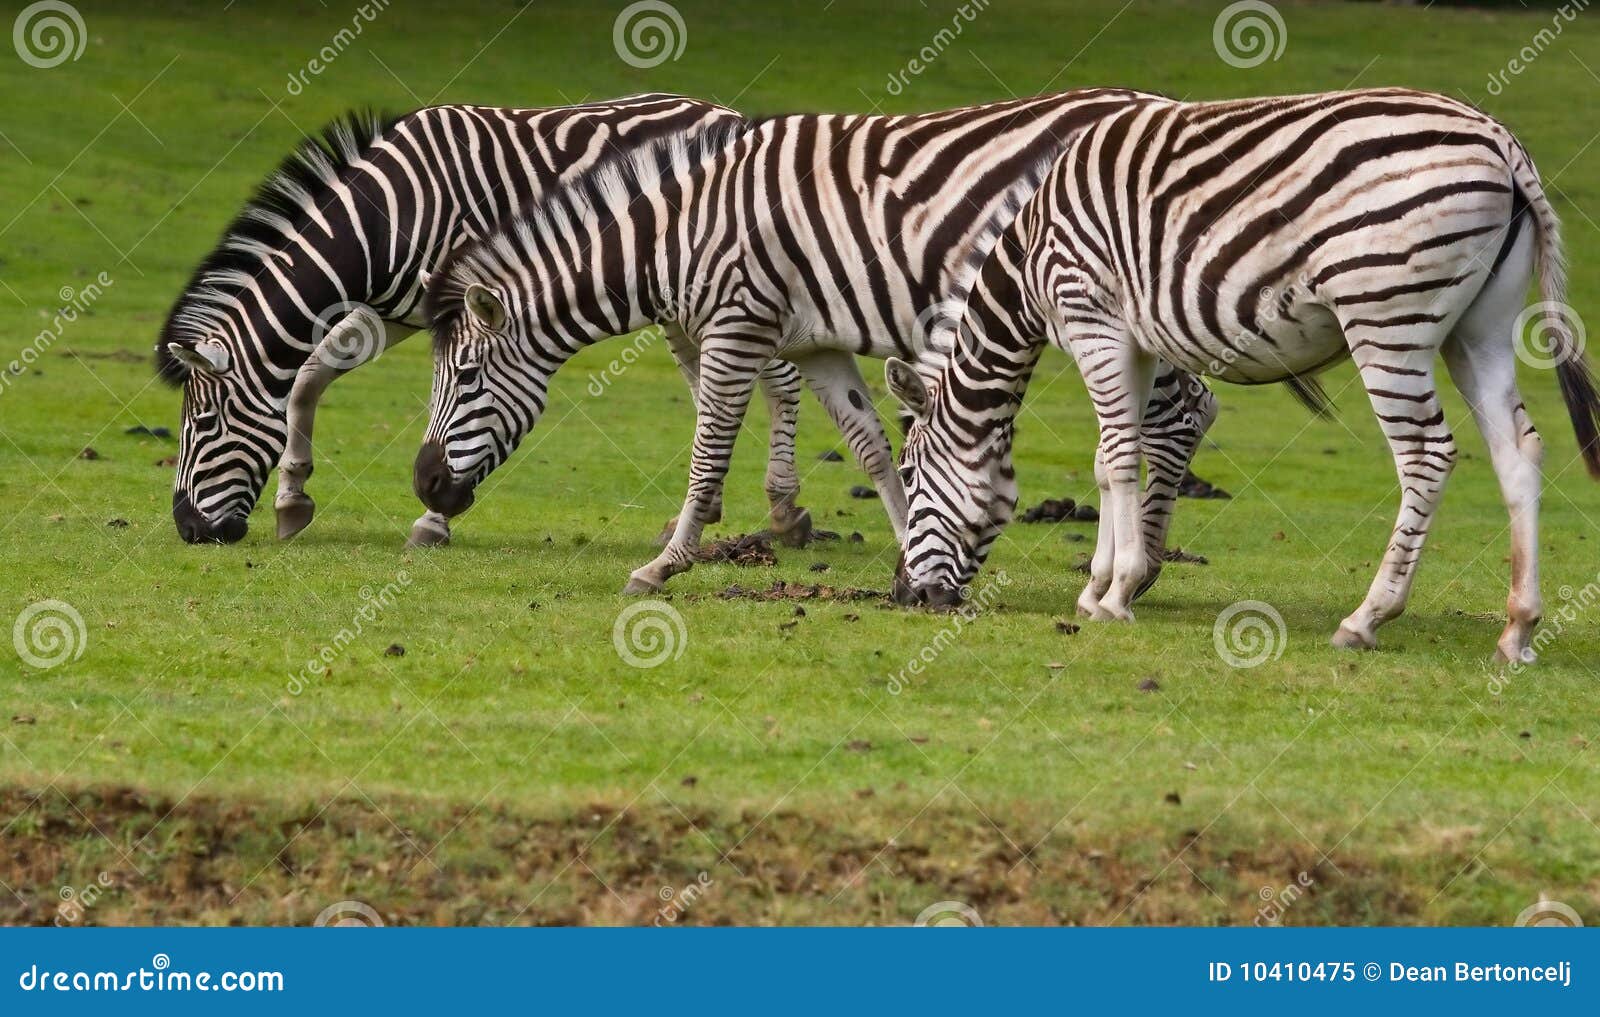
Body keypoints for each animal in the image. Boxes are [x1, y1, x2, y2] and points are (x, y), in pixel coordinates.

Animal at [156, 94, 811, 547]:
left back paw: (785, 512)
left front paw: (432, 521)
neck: (383, 219)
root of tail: (727, 112)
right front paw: (293, 498)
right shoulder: (397, 309)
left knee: (779, 380)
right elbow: (310, 377)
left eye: (205, 423)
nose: (188, 528)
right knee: (714, 389)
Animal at [411, 88, 1238, 594]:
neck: (684, 228)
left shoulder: (736, 323)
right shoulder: (815, 342)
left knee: (1184, 410)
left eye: (469, 377)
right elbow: (870, 445)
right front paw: (909, 551)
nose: (424, 486)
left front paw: (665, 563)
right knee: (1187, 407)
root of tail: (1158, 105)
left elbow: (708, 448)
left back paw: (1141, 567)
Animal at [888, 88, 1600, 663]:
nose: (907, 597)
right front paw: (1097, 587)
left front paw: (1116, 592)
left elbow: (1116, 456)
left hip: (1386, 315)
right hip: (1480, 329)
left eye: (908, 476)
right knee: (1519, 452)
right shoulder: (1133, 341)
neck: (1029, 253)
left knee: (1426, 454)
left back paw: (1367, 618)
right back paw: (1518, 628)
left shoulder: (1092, 319)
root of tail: (1500, 140)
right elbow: (1111, 459)